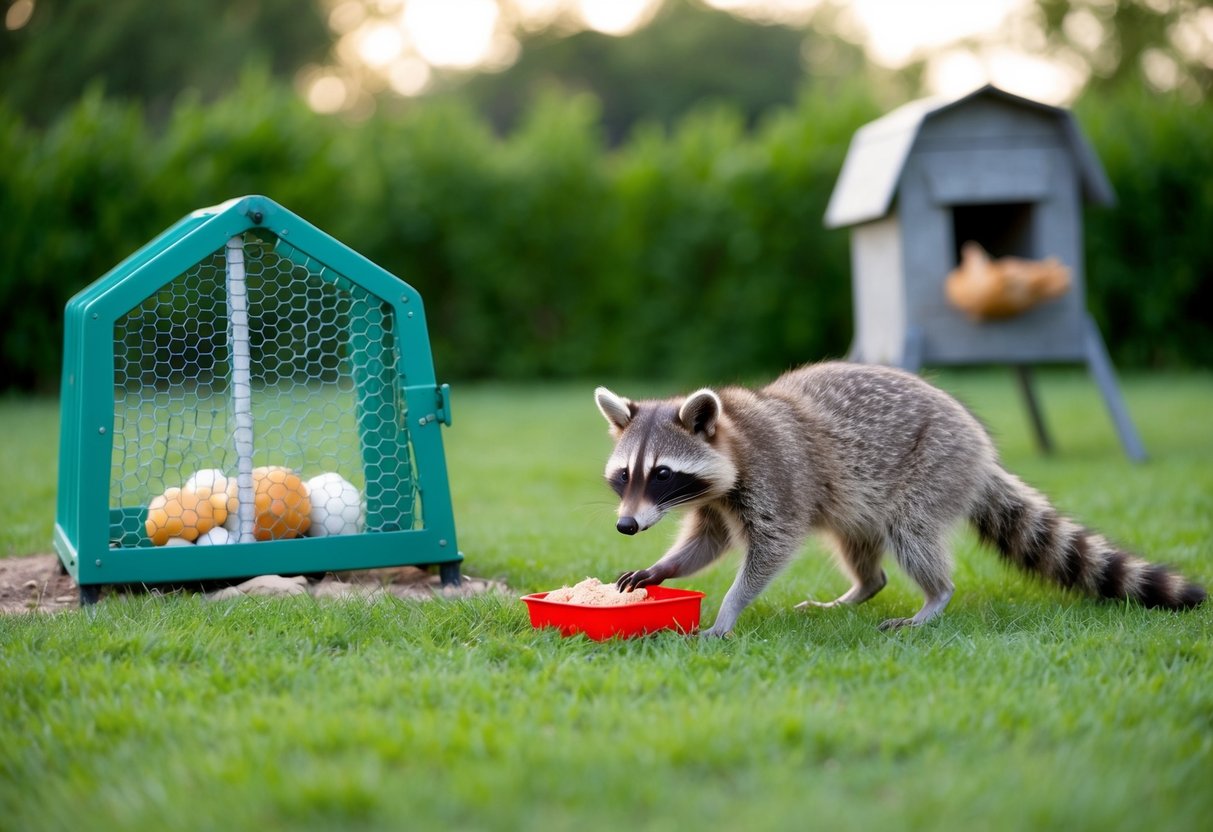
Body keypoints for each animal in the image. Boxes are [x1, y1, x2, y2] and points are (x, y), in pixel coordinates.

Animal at [594, 362, 1205, 637]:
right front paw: (663, 567)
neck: (732, 437)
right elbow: (709, 541)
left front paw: (727, 610)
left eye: (662, 474)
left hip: (934, 465)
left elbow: (770, 549)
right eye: (624, 477)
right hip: (858, 498)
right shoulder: (716, 499)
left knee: (912, 535)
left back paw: (935, 597)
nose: (626, 526)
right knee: (859, 545)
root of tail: (982, 453)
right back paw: (861, 589)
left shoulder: (777, 477)